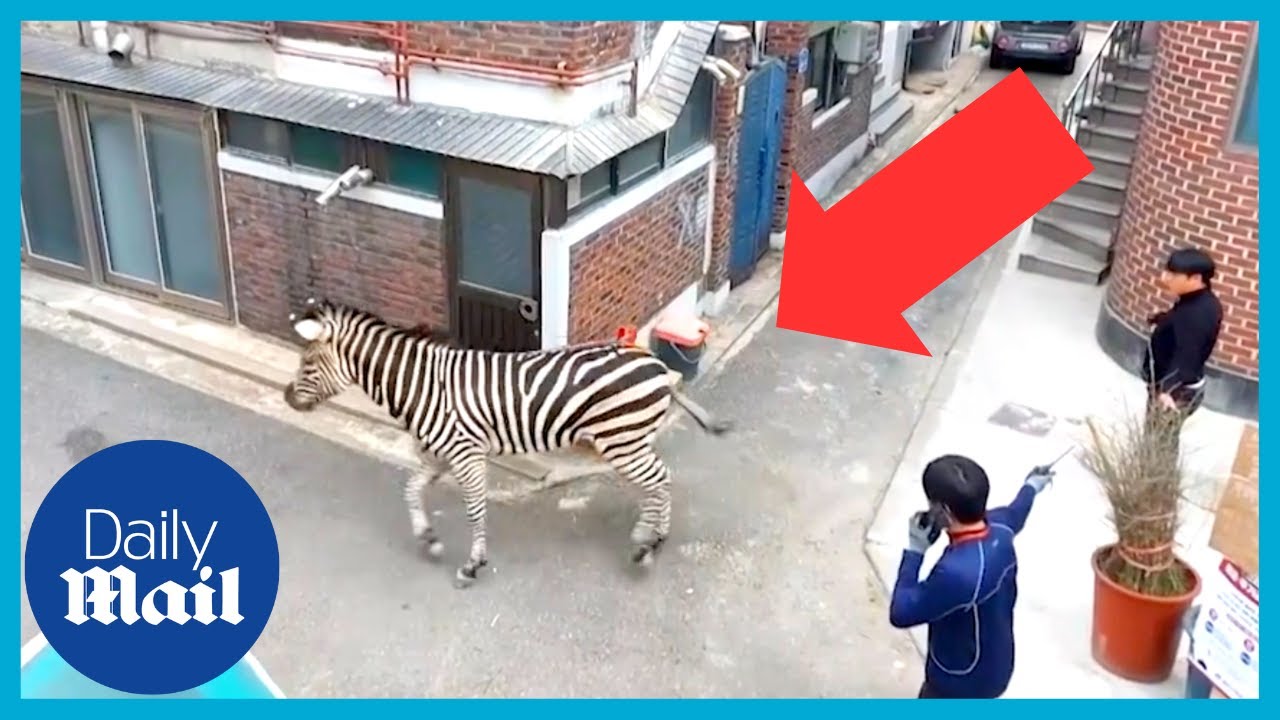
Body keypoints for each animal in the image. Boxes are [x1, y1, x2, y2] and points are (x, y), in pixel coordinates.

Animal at [282, 298, 732, 589]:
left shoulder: (466, 455)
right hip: (630, 439)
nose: (287, 398)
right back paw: (649, 534)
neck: (424, 386)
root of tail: (655, 363)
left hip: (622, 440)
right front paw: (429, 539)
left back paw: (648, 544)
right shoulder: (437, 456)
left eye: (308, 362)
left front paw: (473, 565)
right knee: (658, 480)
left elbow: (474, 509)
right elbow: (410, 490)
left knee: (659, 479)